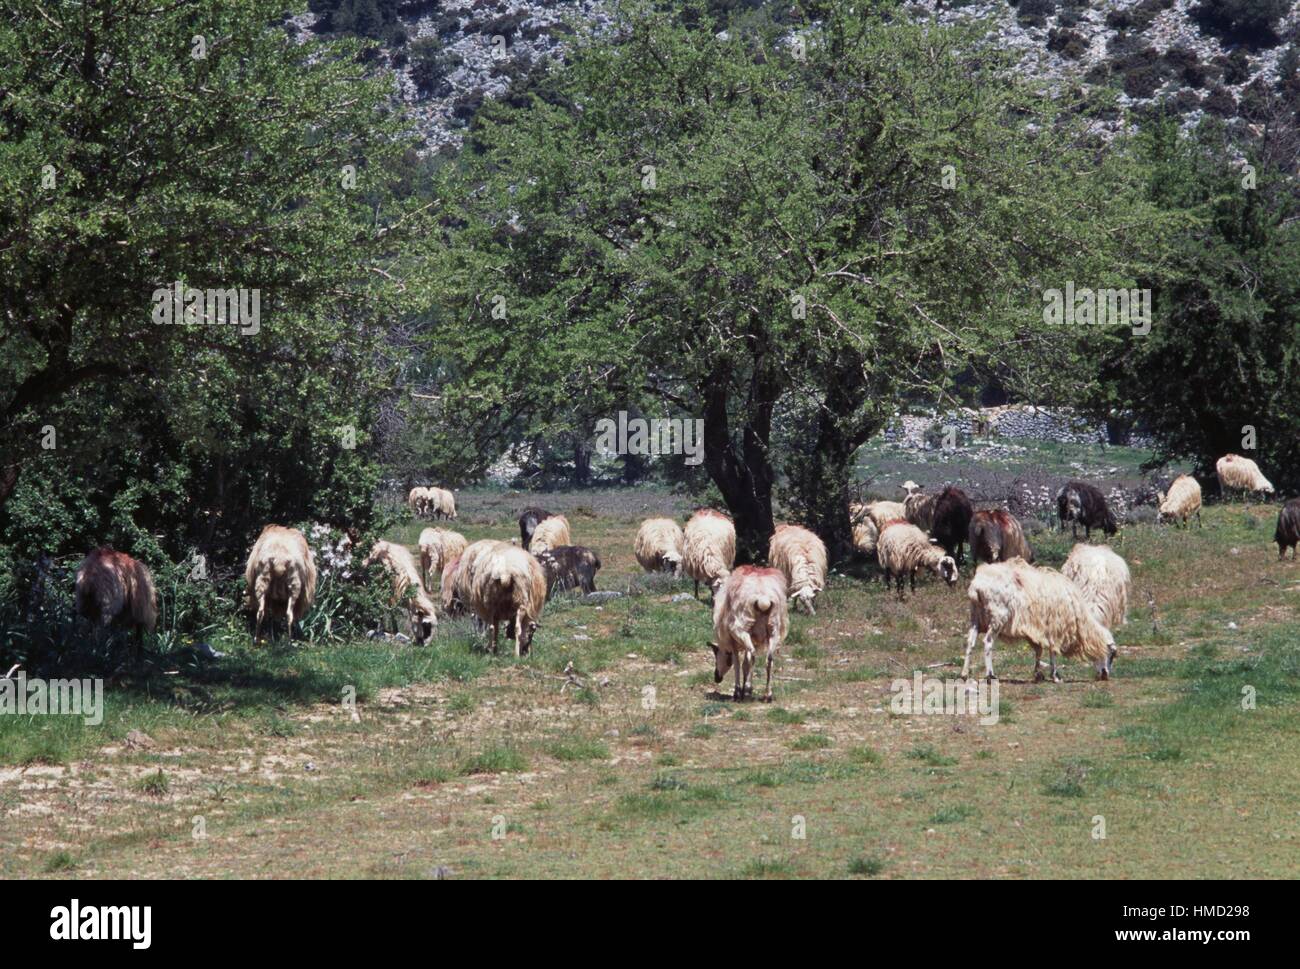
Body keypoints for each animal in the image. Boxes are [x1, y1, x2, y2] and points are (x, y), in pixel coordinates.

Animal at [709, 565, 789, 701]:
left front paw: (739, 691)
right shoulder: (753, 638)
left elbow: (738, 663)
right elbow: (746, 660)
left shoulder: (733, 641)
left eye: (716, 656)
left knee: (752, 656)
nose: (716, 677)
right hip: (774, 630)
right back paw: (768, 695)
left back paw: (745, 693)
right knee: (769, 659)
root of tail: (763, 597)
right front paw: (747, 689)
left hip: (741, 629)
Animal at [963, 558, 1115, 684]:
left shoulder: (1037, 629)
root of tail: (976, 586)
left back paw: (965, 674)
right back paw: (990, 675)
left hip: (976, 618)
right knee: (987, 642)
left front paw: (1038, 674)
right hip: (998, 617)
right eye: (1111, 655)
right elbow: (1052, 651)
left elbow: (1039, 650)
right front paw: (1055, 676)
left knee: (970, 642)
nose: (1105, 676)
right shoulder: (1055, 627)